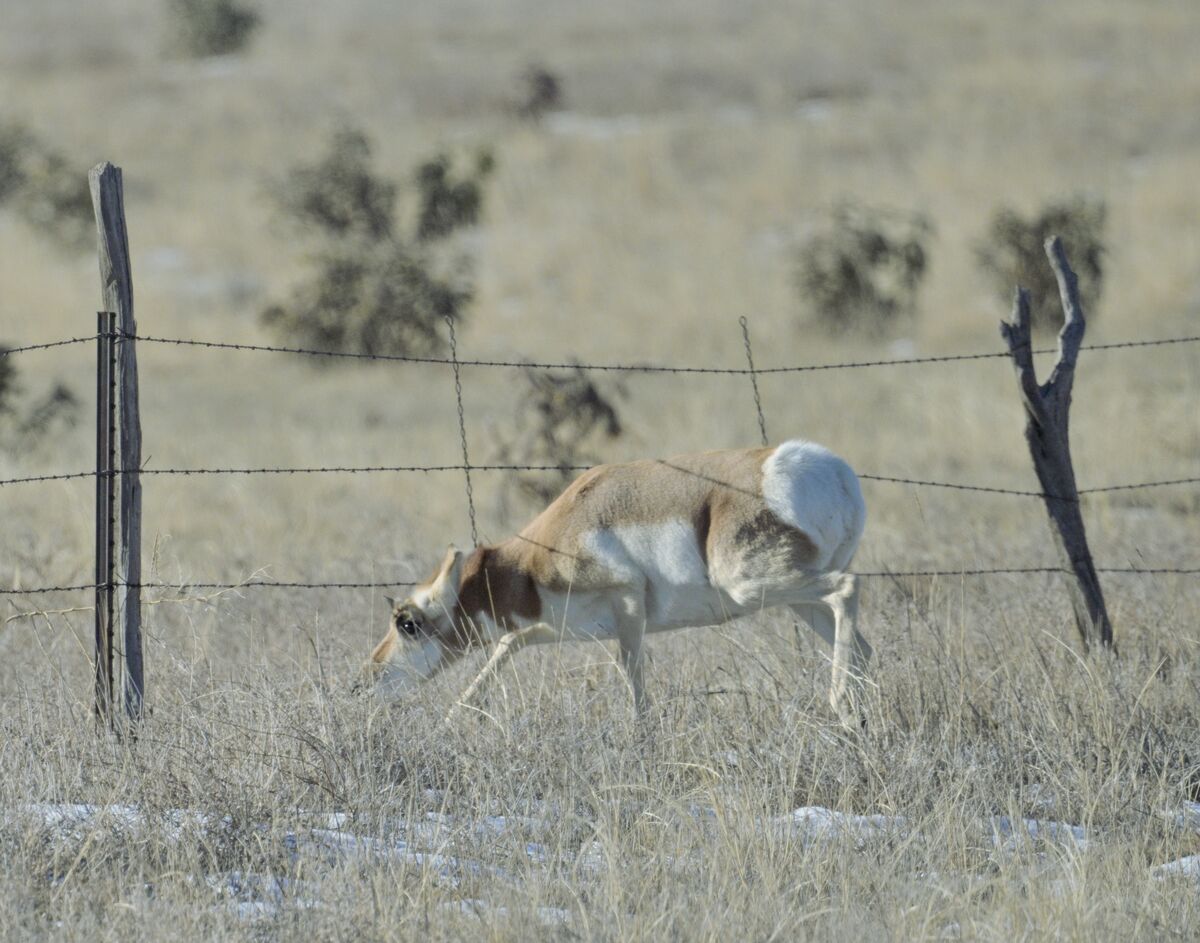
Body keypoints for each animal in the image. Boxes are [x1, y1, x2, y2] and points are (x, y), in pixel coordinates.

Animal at [363, 440, 871, 725]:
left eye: (407, 622)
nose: (365, 681)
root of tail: (832, 471)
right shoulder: (554, 628)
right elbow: (508, 646)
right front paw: (452, 720)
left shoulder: (629, 608)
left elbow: (633, 681)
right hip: (799, 600)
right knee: (860, 642)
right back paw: (864, 719)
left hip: (758, 585)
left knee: (848, 588)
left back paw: (842, 706)